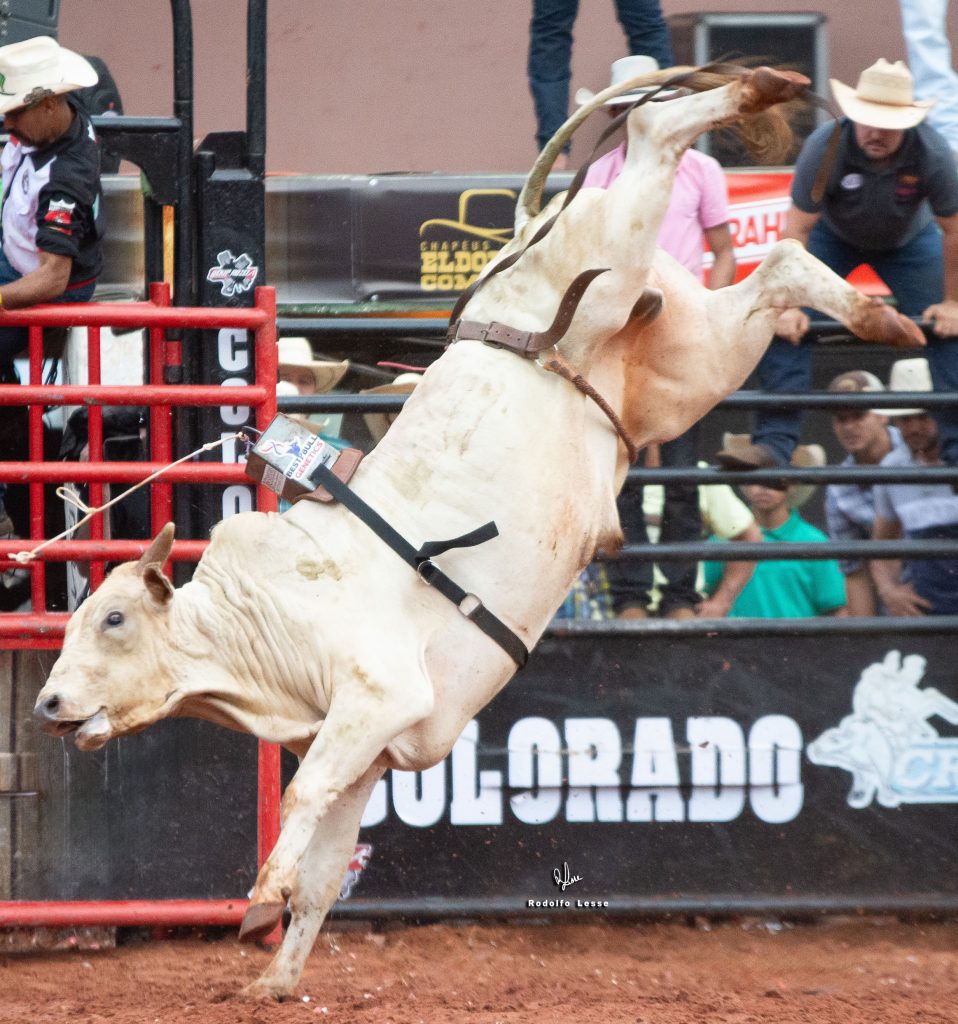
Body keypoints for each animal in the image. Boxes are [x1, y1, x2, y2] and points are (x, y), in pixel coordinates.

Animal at [33, 65, 924, 999]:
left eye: (113, 619)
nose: (47, 703)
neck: (255, 629)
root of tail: (527, 228)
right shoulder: (368, 749)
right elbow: (326, 865)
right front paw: (276, 976)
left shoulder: (377, 697)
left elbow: (303, 799)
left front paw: (259, 895)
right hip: (684, 364)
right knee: (777, 267)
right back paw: (878, 313)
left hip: (611, 263)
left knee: (659, 134)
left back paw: (761, 88)